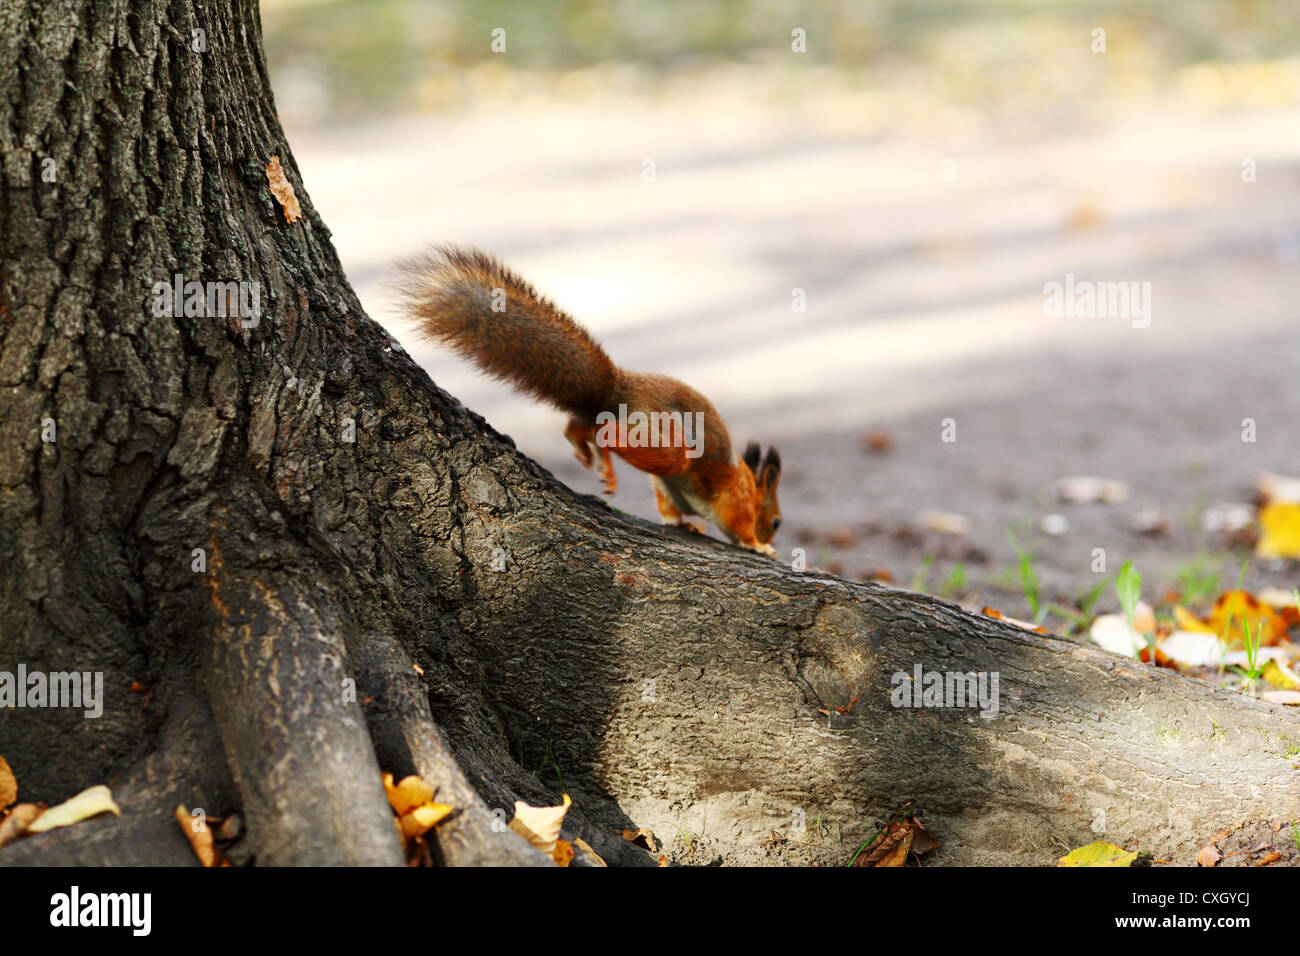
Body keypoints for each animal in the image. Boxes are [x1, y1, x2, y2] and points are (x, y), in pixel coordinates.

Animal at [397, 245, 782, 557]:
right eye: (777, 522)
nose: (771, 535)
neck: (750, 483)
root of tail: (621, 388)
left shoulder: (670, 493)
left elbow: (670, 513)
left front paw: (686, 525)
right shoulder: (736, 497)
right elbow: (739, 522)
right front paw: (758, 545)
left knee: (584, 422)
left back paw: (581, 442)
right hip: (671, 443)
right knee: (616, 434)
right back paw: (604, 456)